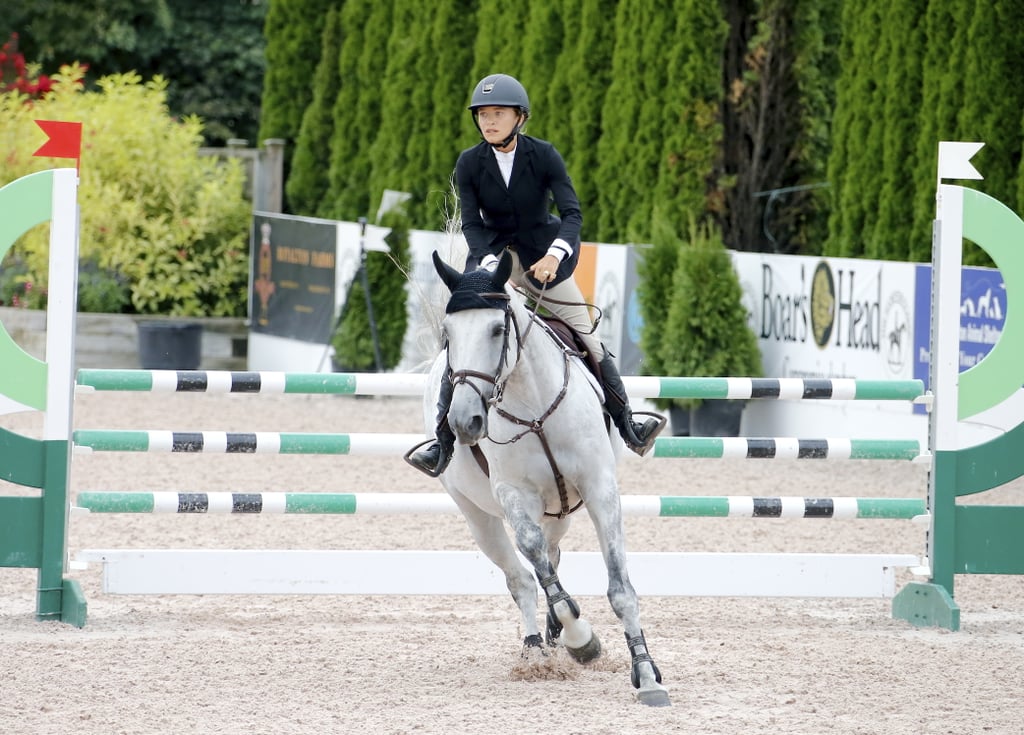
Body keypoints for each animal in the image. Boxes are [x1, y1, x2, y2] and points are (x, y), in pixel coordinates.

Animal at [419, 249, 670, 707]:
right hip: (479, 515)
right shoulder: (514, 495)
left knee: (551, 554)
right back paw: (537, 648)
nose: (464, 422)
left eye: (497, 329)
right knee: (523, 576)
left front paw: (647, 675)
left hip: (562, 507)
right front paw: (581, 638)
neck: (533, 407)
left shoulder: (599, 488)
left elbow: (620, 588)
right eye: (448, 334)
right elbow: (533, 556)